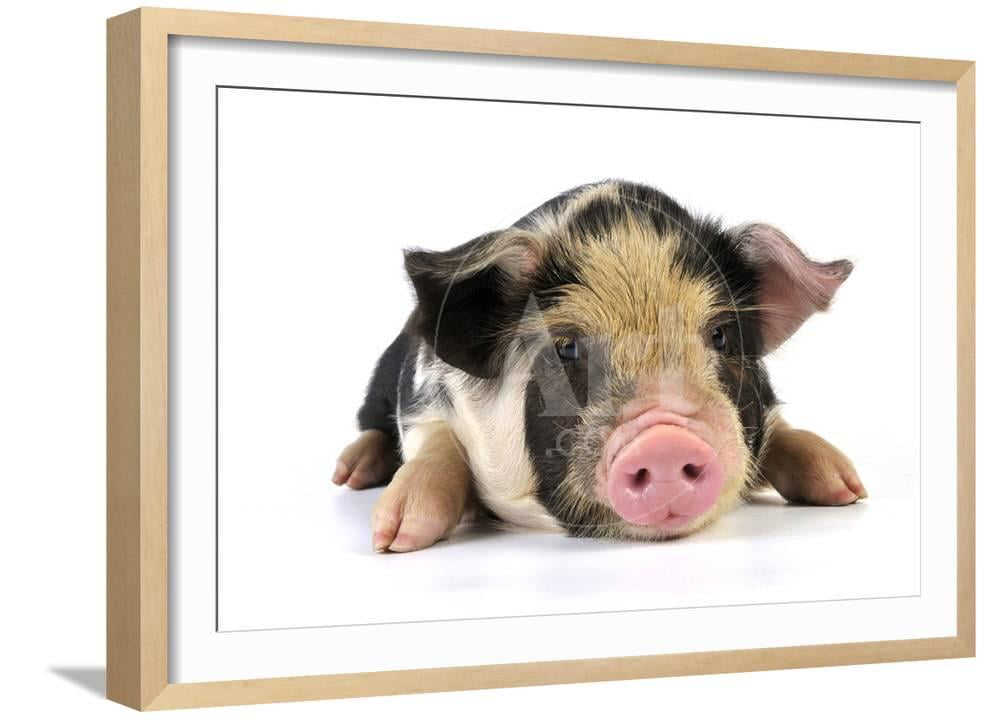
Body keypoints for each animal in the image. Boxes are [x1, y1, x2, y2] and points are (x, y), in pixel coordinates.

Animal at [332, 180, 865, 552]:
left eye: (720, 335)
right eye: (566, 348)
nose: (666, 439)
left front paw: (848, 489)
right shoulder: (425, 399)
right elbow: (434, 446)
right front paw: (395, 539)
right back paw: (349, 475)